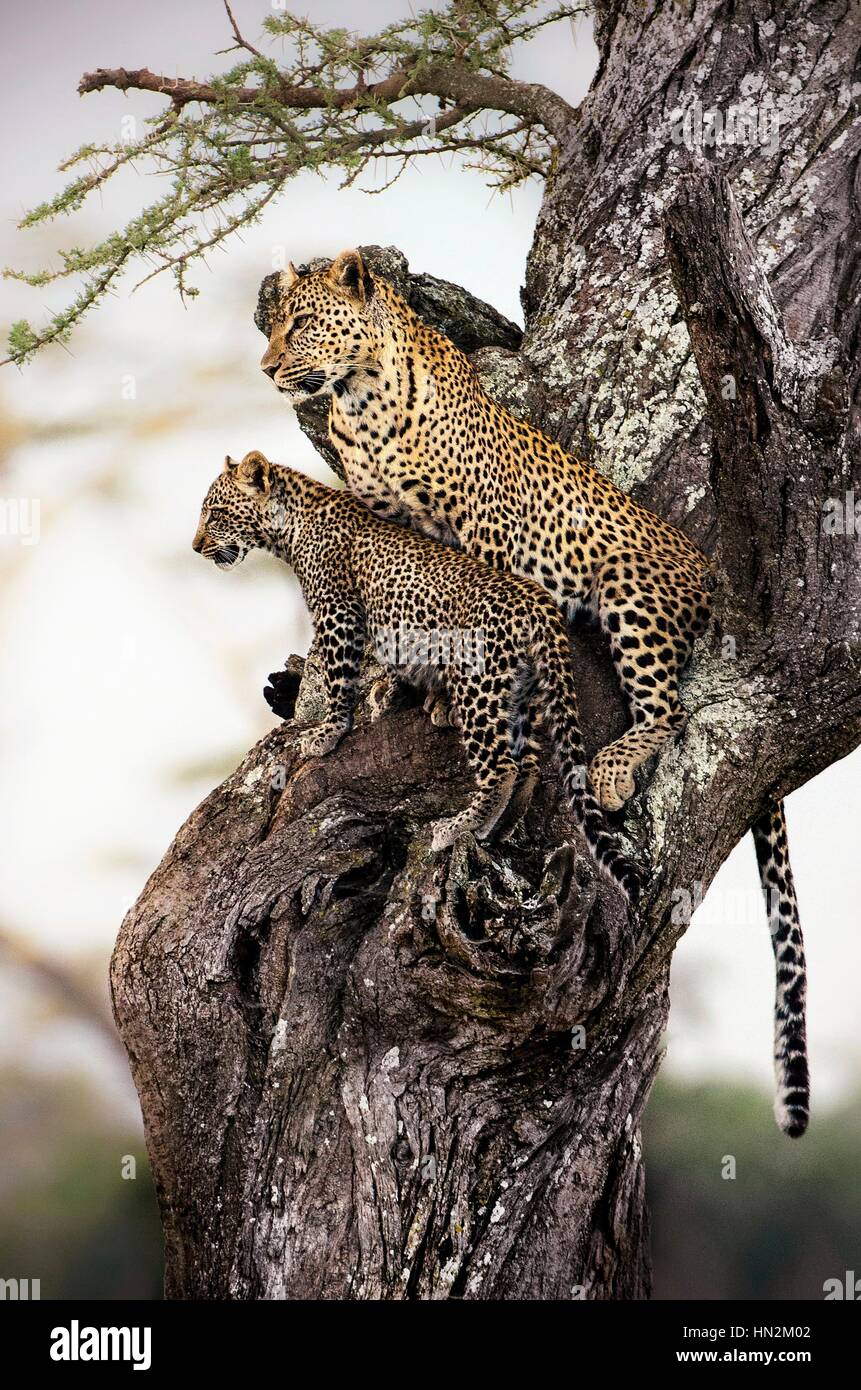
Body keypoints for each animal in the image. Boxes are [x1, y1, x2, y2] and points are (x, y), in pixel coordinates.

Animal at [193, 450, 643, 905]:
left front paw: (328, 732)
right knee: (528, 766)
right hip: (521, 688)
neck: (289, 525)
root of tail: (538, 603)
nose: (196, 546)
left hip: (478, 682)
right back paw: (498, 829)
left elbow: (336, 677)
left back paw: (458, 828)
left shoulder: (339, 615)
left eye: (215, 513)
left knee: (501, 767)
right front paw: (389, 695)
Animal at [254, 249, 809, 1137]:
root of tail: (709, 576)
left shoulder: (482, 526)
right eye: (273, 325)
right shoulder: (385, 523)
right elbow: (395, 605)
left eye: (300, 324)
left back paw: (612, 769)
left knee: (668, 705)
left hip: (628, 591)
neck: (361, 399)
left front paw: (439, 694)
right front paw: (390, 685)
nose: (269, 368)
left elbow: (475, 601)